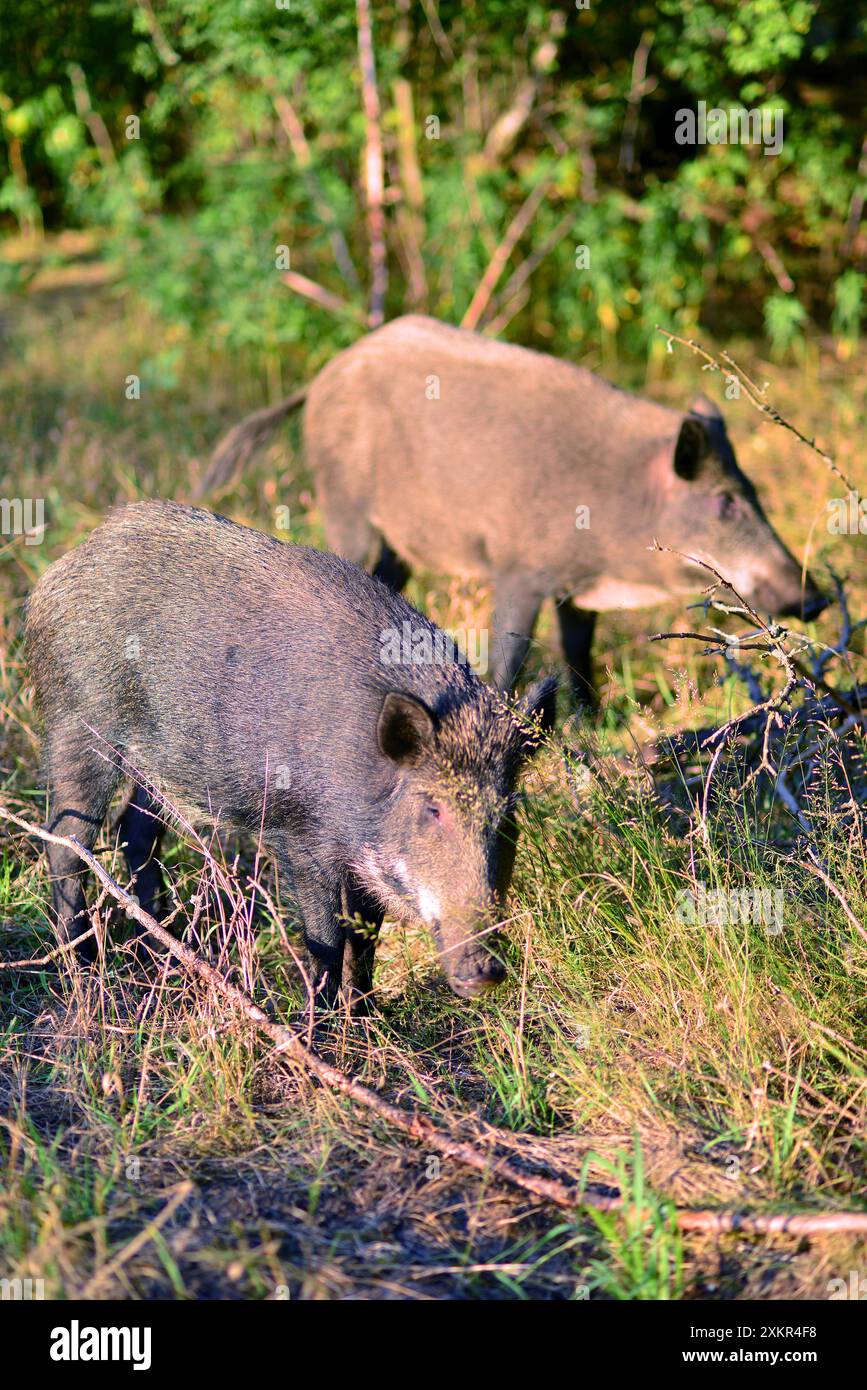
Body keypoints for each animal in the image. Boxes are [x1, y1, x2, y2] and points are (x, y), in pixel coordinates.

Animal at [24, 502, 556, 1010]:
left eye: (507, 817)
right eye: (433, 808)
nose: (486, 970)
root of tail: (56, 574)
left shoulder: (367, 859)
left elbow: (365, 936)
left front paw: (367, 1016)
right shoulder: (301, 834)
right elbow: (326, 937)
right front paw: (319, 1028)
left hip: (160, 764)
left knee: (134, 831)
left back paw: (169, 962)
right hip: (78, 724)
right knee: (67, 839)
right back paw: (82, 971)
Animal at [201, 315, 825, 704]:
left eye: (752, 490)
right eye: (725, 500)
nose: (814, 598)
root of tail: (321, 378)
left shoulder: (577, 589)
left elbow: (578, 652)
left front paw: (592, 723)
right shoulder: (520, 569)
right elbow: (509, 656)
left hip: (402, 540)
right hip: (345, 505)